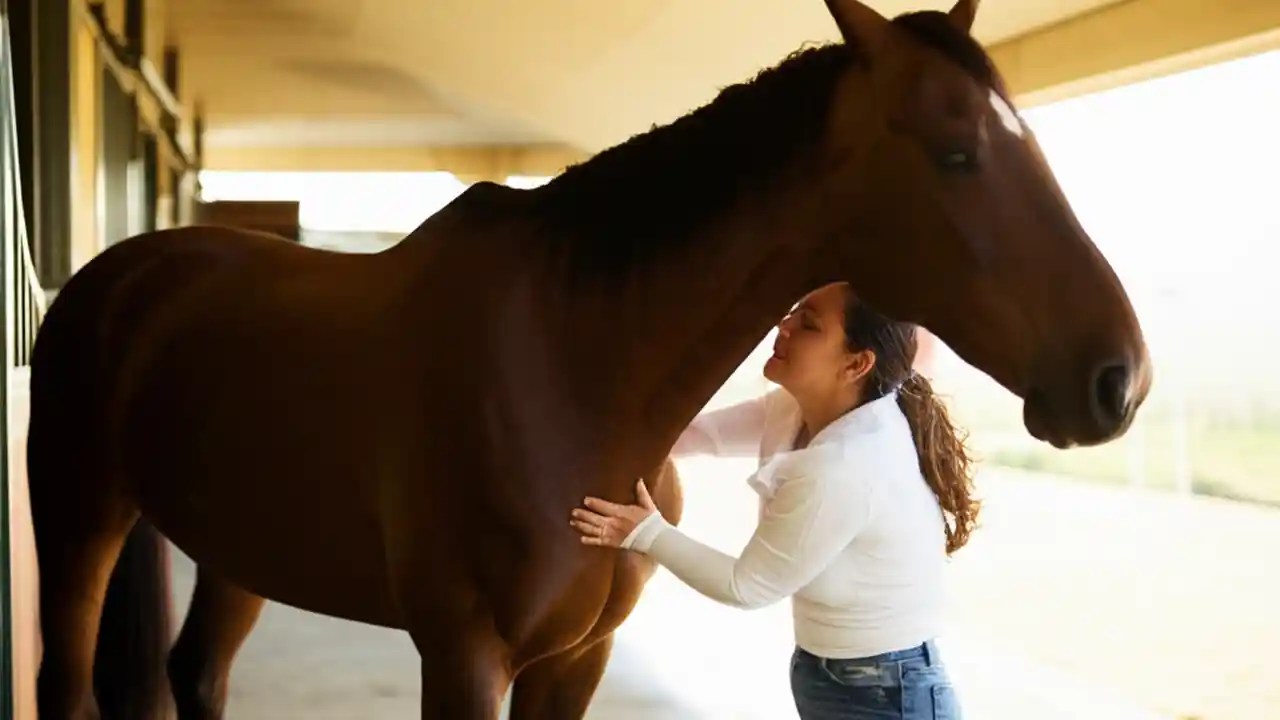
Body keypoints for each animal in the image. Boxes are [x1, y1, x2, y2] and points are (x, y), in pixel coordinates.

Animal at [28, 1, 1151, 718]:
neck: (569, 376)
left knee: (192, 673)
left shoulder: (574, 662)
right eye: (957, 152)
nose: (1120, 379)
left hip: (236, 546)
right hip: (81, 517)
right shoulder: (465, 657)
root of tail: (117, 274)